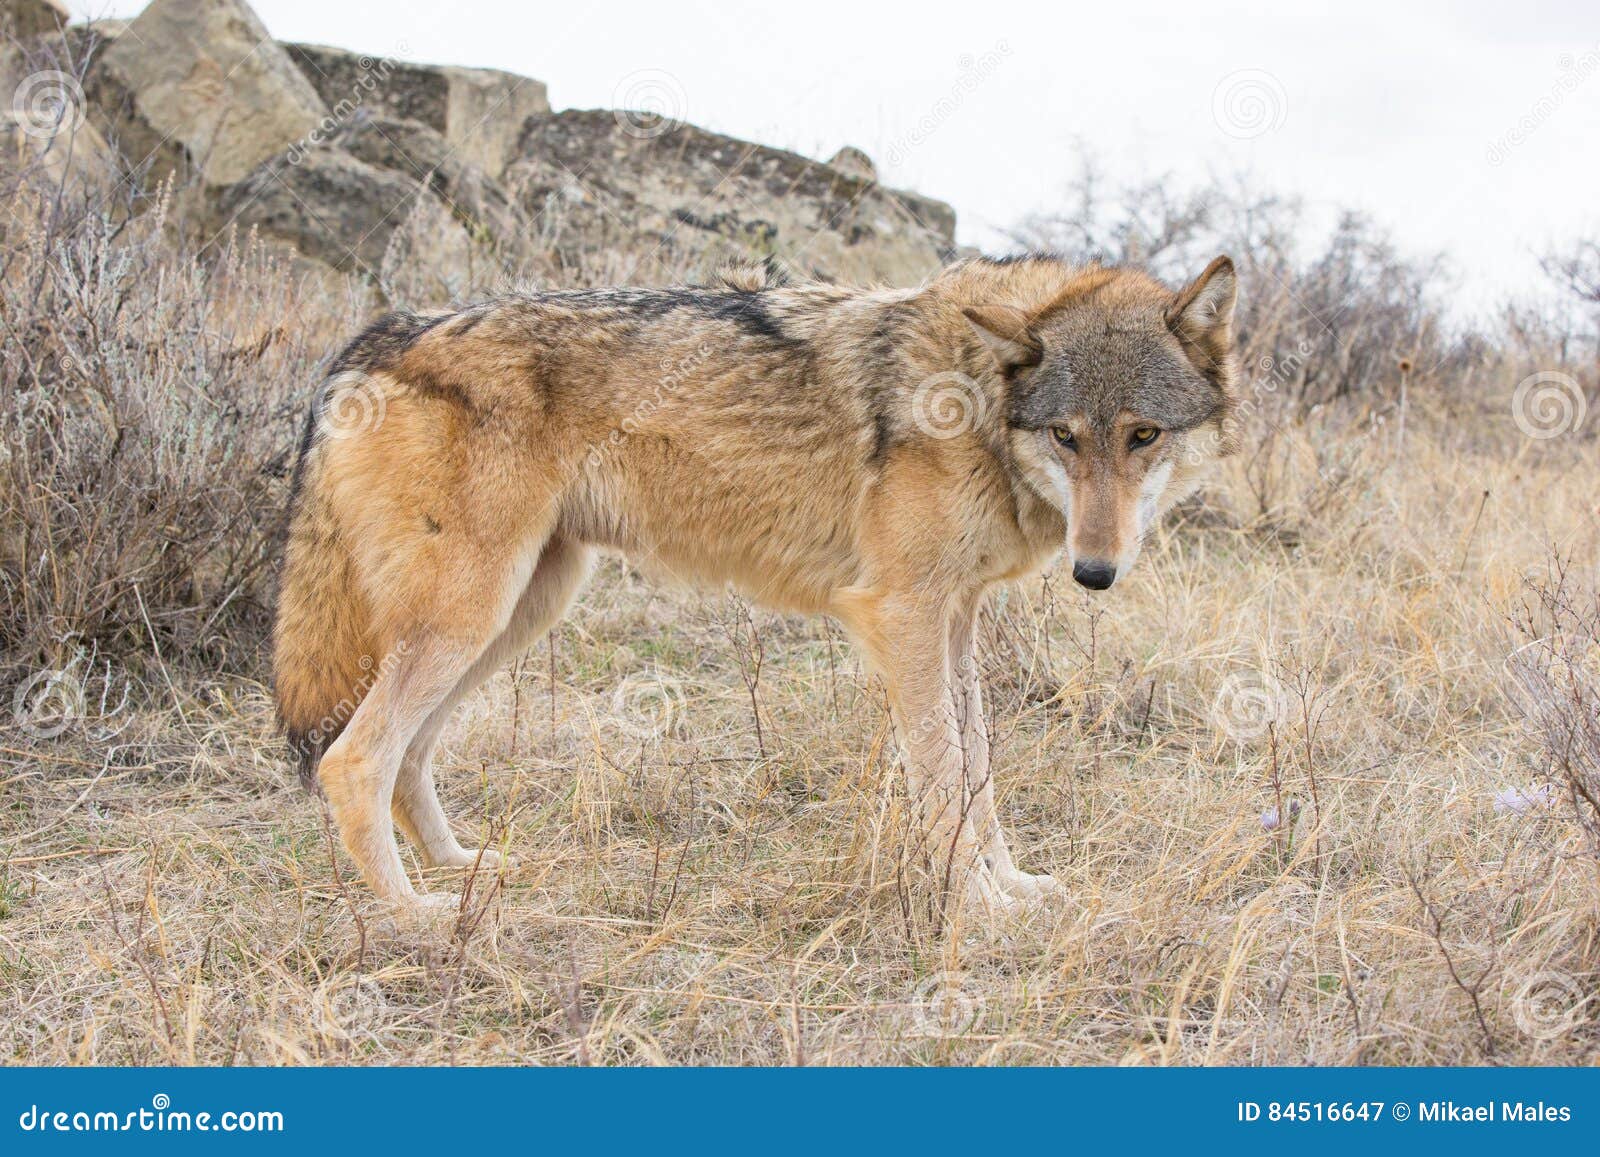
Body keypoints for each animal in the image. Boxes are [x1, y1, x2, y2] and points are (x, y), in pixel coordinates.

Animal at [273, 252, 1239, 913]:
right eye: (1067, 437)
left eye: (1144, 435)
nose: (1095, 571)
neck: (979, 395)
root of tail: (387, 330)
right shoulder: (902, 613)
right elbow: (942, 777)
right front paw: (977, 904)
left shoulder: (955, 617)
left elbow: (978, 772)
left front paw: (1017, 884)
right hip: (470, 616)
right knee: (353, 759)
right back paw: (415, 913)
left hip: (517, 610)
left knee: (409, 756)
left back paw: (461, 869)